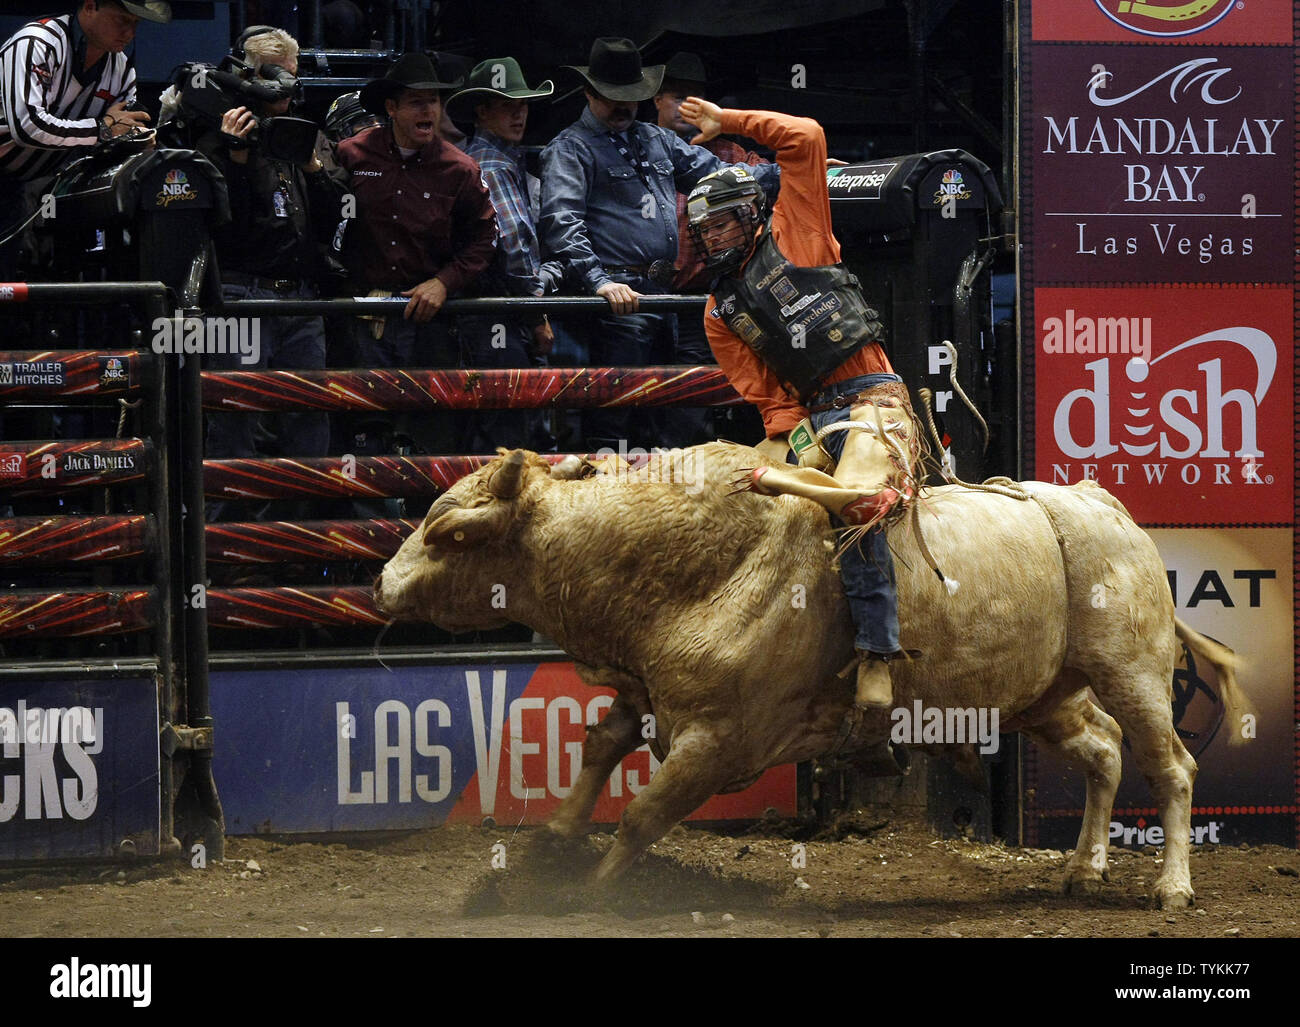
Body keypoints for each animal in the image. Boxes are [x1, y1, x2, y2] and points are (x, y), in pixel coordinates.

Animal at [374, 442, 1249, 909]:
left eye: (447, 530)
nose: (380, 584)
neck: (683, 561)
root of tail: (1106, 506)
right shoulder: (643, 695)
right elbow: (598, 750)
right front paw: (553, 841)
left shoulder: (720, 742)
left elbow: (644, 814)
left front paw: (594, 893)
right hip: (1045, 691)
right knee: (1101, 750)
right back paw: (1082, 866)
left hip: (1132, 669)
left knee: (1171, 765)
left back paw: (1171, 885)